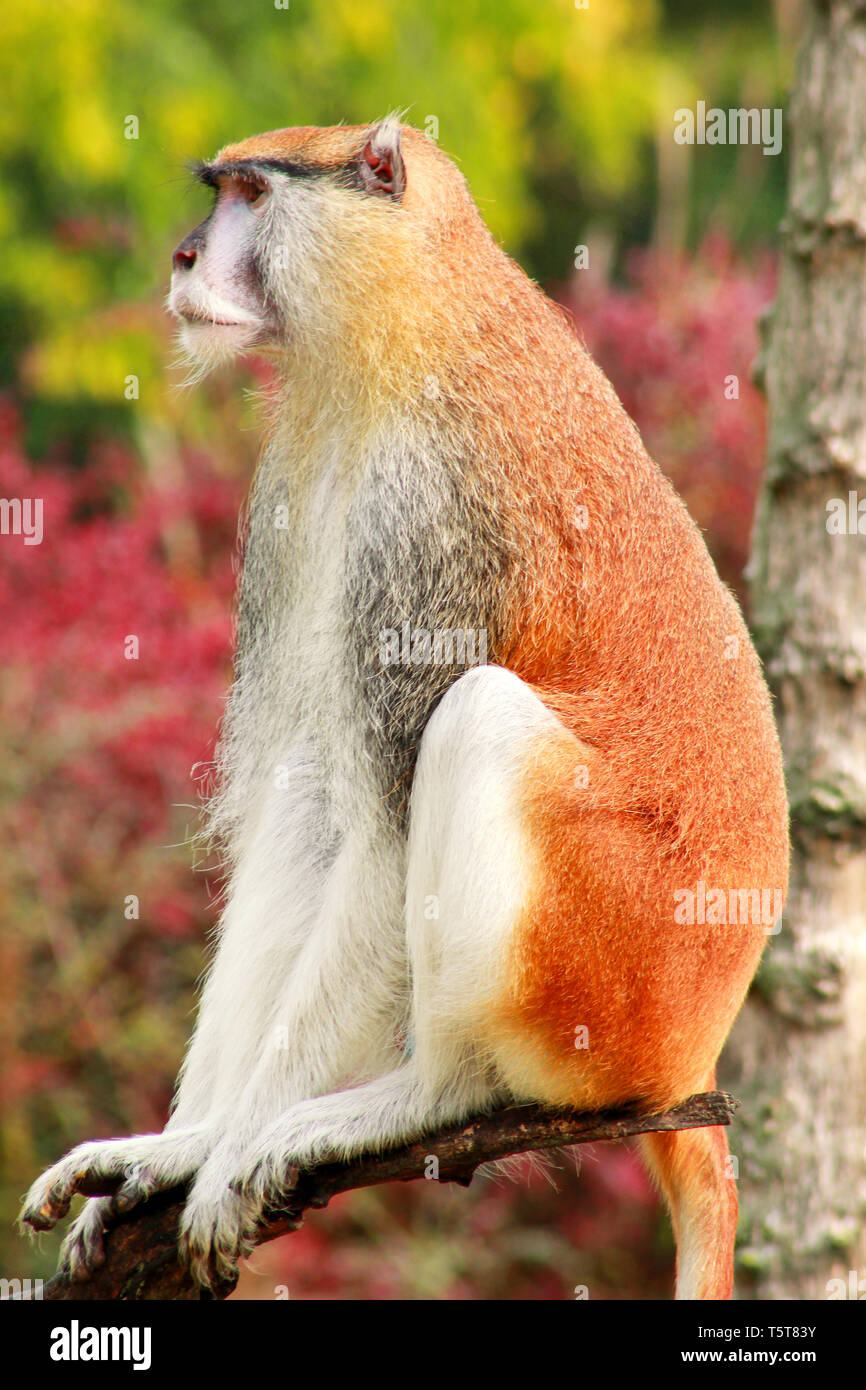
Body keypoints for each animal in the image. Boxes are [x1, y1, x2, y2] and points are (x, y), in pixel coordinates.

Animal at [21, 116, 789, 1300]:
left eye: (249, 195)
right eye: (220, 191)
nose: (185, 257)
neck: (412, 321)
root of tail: (690, 1053)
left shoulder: (430, 513)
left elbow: (383, 835)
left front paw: (230, 1150)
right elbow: (310, 809)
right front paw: (178, 1145)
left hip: (606, 975)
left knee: (479, 718)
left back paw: (428, 1093)